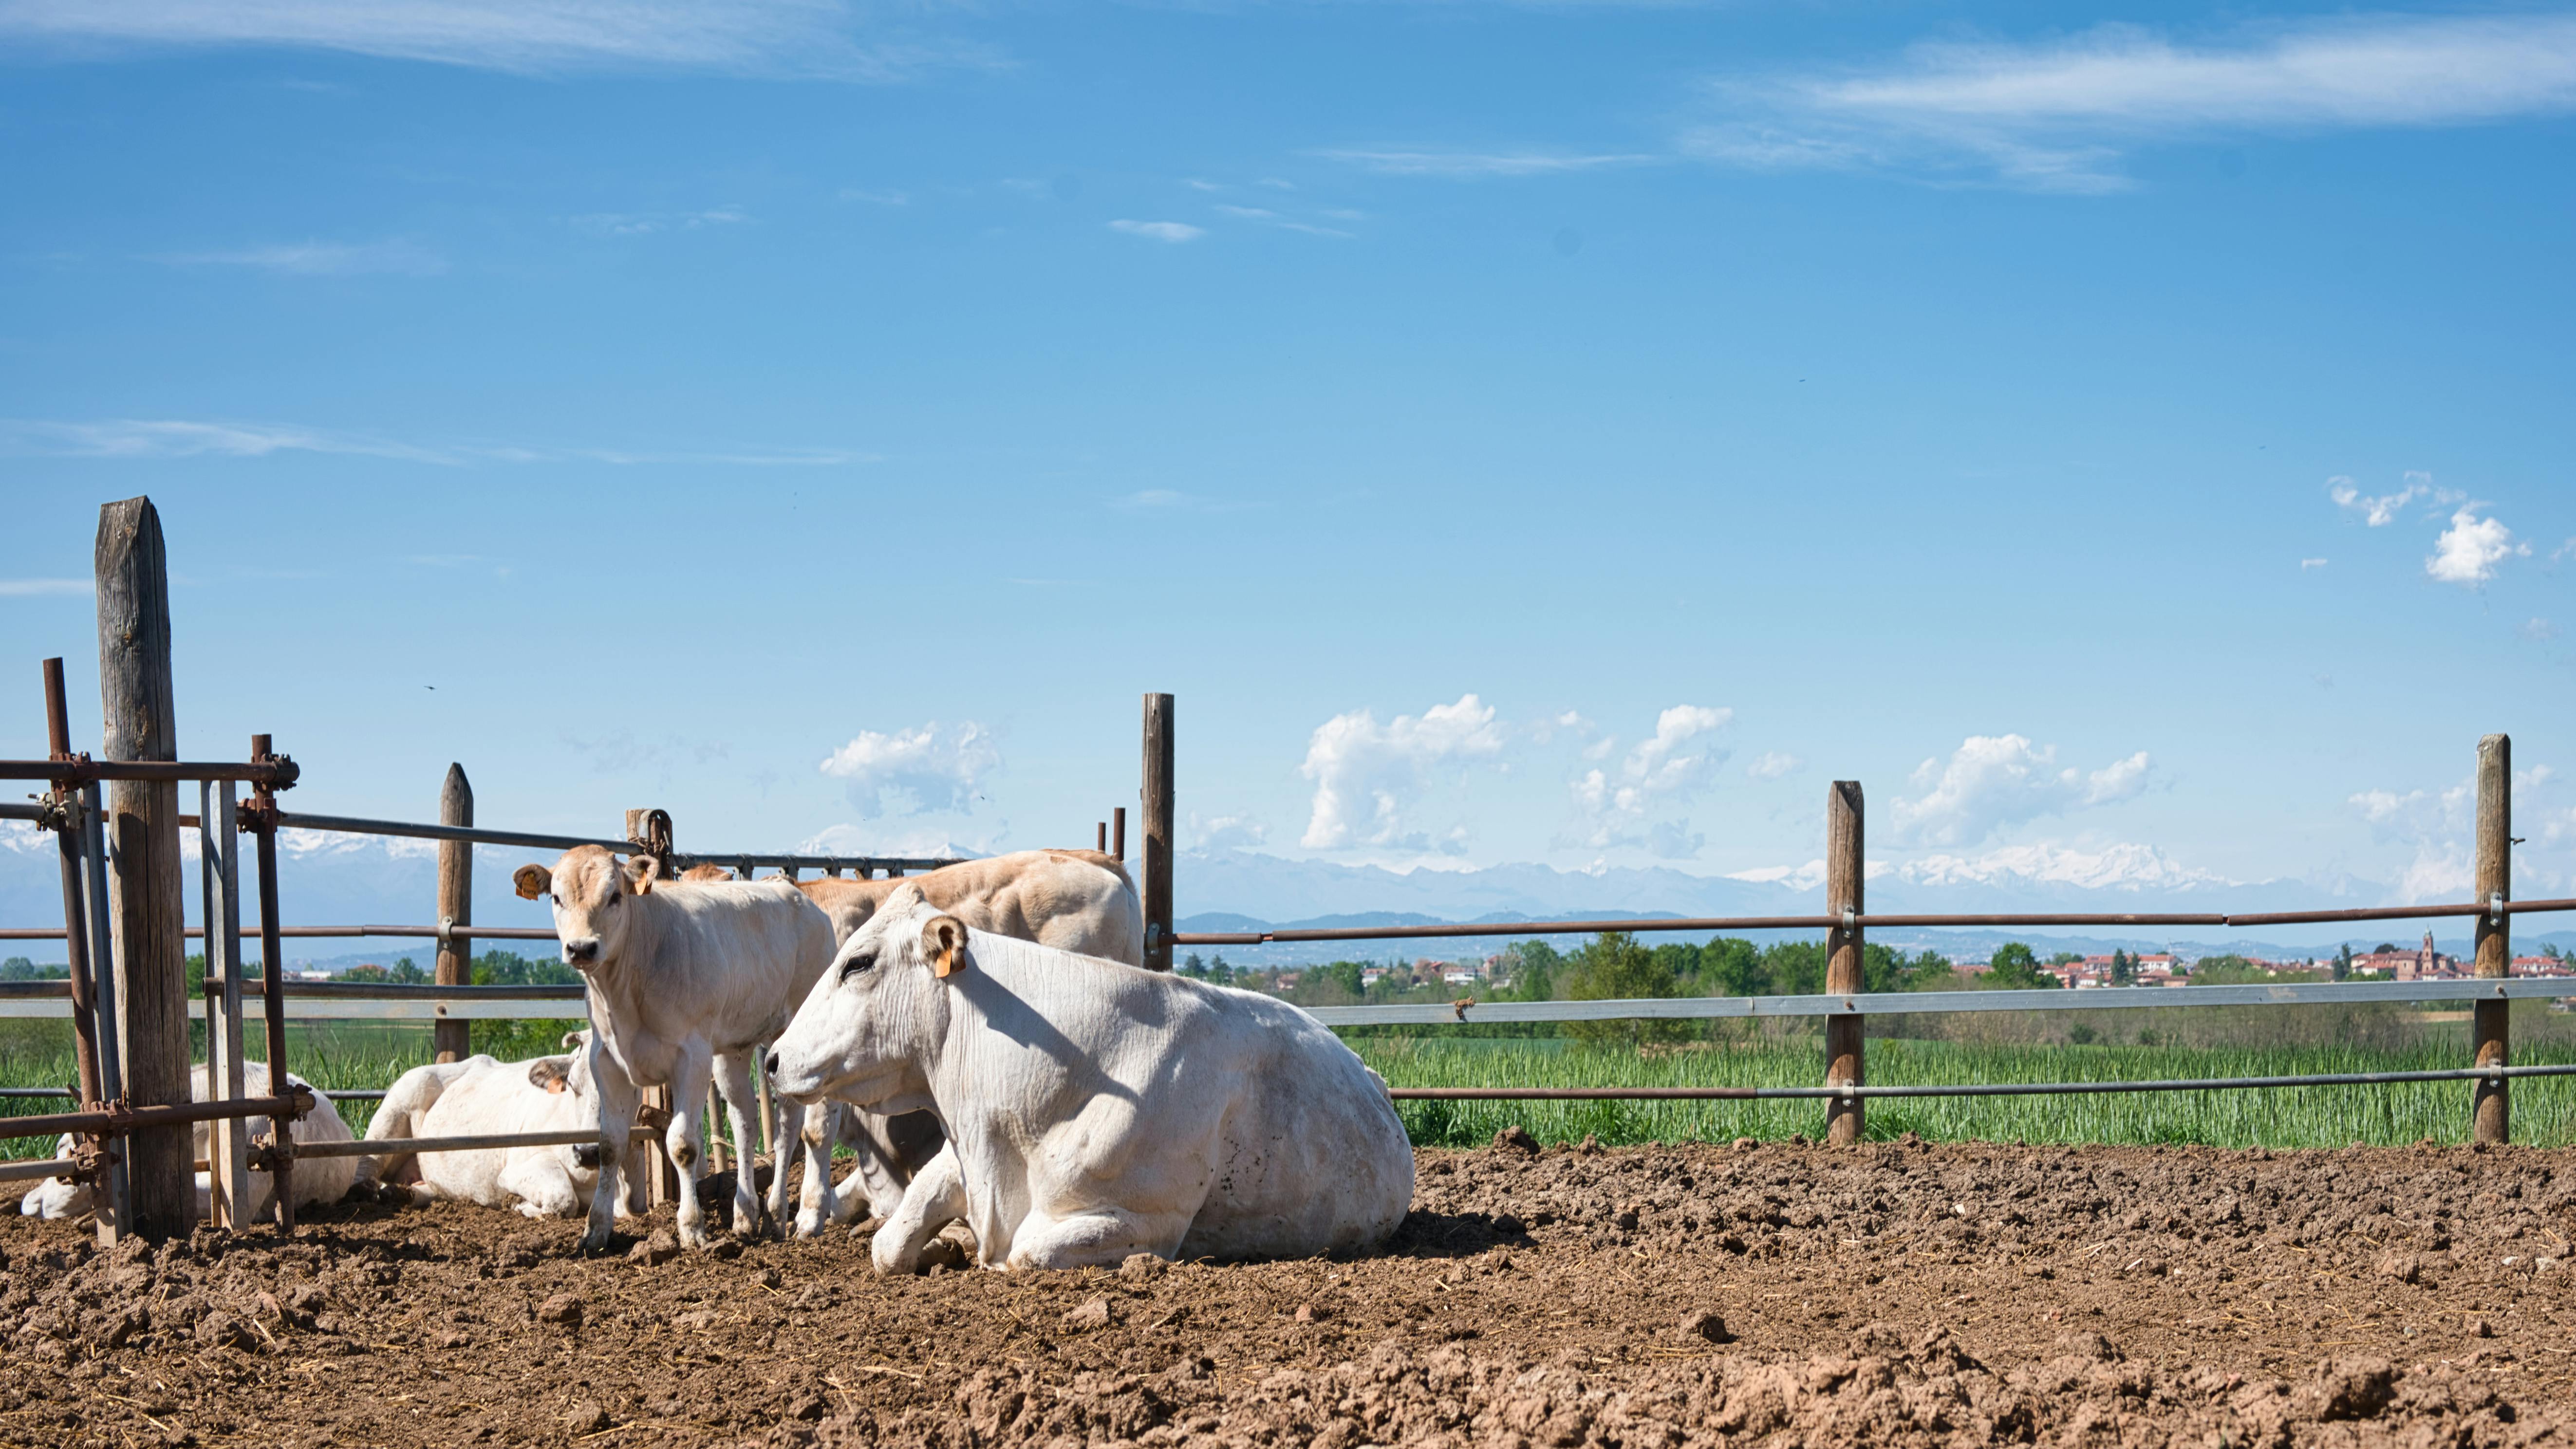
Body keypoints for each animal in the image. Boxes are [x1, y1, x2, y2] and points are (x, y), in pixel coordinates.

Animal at [362, 1038, 605, 1218]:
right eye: (572, 1084)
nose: (588, 1152)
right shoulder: (518, 1165)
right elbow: (563, 1199)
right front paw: (520, 1205)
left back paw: (400, 1193)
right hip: (396, 1108)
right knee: (368, 1165)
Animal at [514, 845, 839, 1252]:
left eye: (615, 896)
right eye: (557, 898)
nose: (582, 948)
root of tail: (795, 893)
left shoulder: (692, 1058)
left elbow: (682, 1144)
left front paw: (692, 1228)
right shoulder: (608, 1062)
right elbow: (610, 1145)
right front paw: (595, 1231)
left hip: (795, 1034)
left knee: (796, 1125)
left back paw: (787, 1214)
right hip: (731, 1050)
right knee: (745, 1119)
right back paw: (746, 1214)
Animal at [766, 883, 1415, 1273]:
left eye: (858, 963)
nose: (772, 1060)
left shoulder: (1147, 1222)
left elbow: (1025, 1251)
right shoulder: (964, 1153)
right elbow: (890, 1240)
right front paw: (945, 1240)